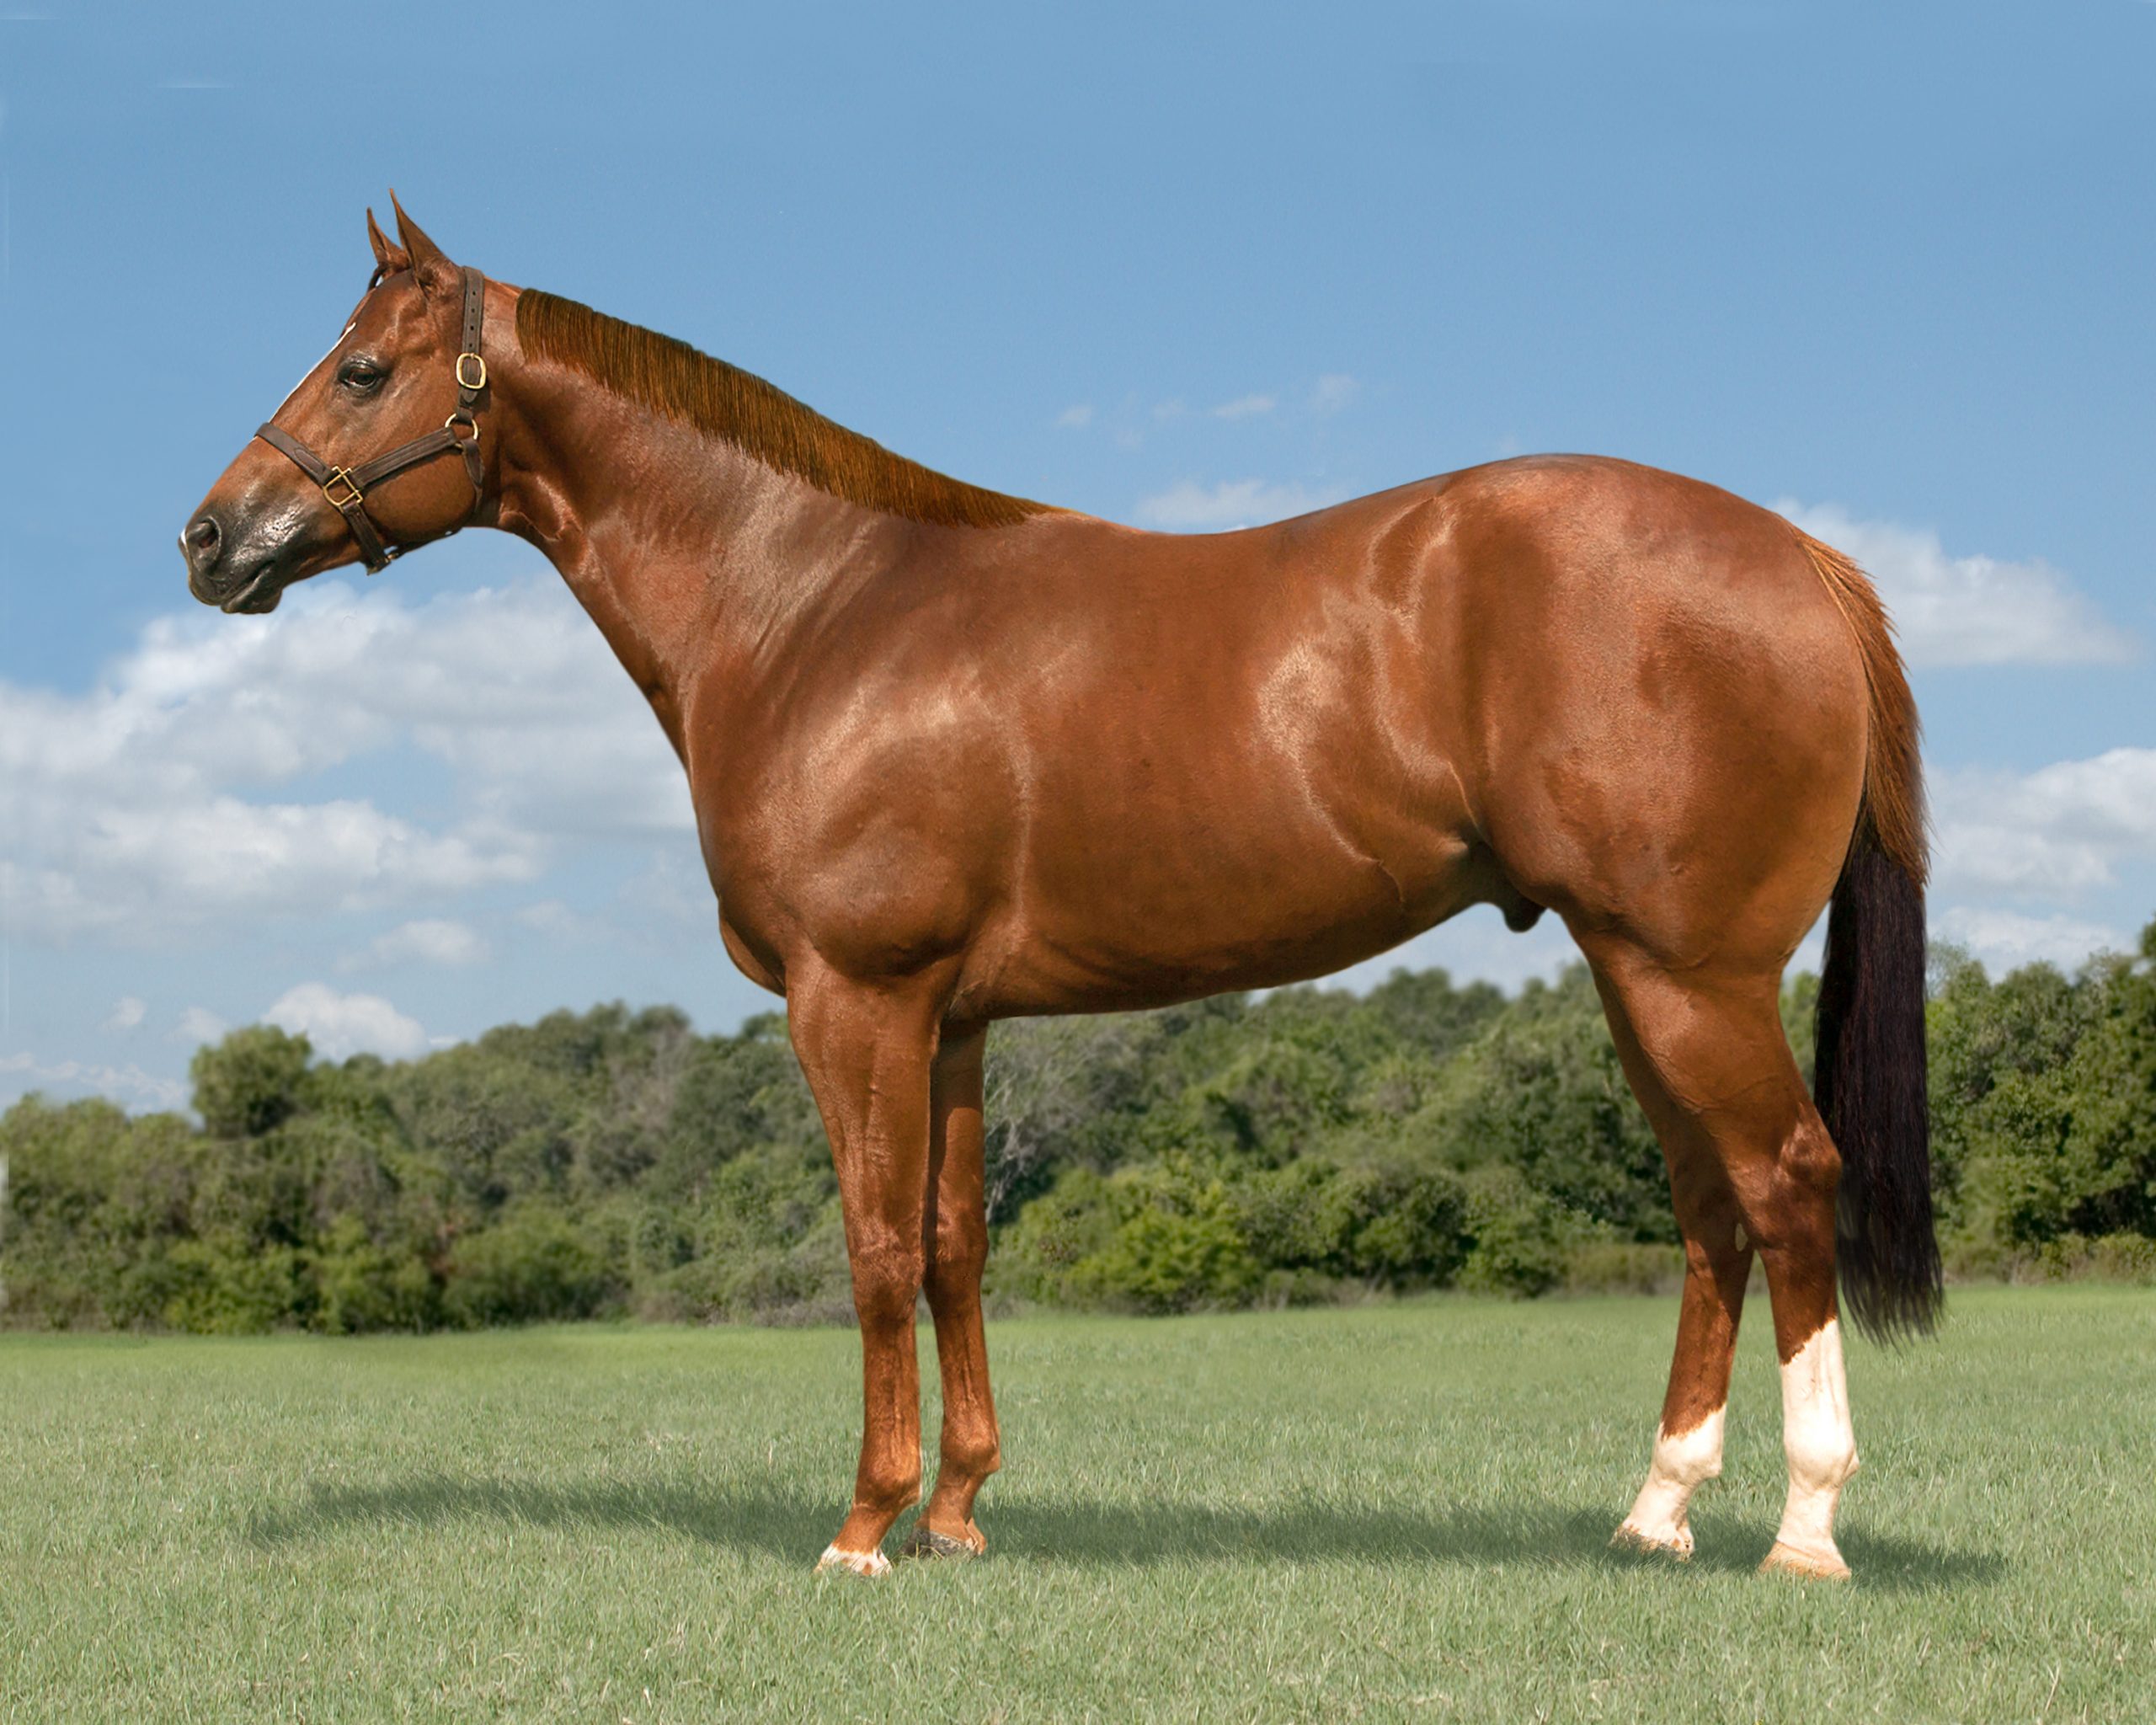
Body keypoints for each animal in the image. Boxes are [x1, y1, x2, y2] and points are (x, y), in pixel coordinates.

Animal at [181, 199, 1938, 1582]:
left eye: (360, 369)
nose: (211, 537)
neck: (817, 605)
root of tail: (1799, 558)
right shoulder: (954, 1017)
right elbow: (956, 1240)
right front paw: (958, 1512)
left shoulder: (856, 998)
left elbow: (873, 1244)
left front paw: (864, 1525)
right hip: (1638, 974)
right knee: (1711, 1206)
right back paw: (1657, 1511)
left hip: (1690, 973)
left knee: (1787, 1182)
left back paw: (1805, 1529)